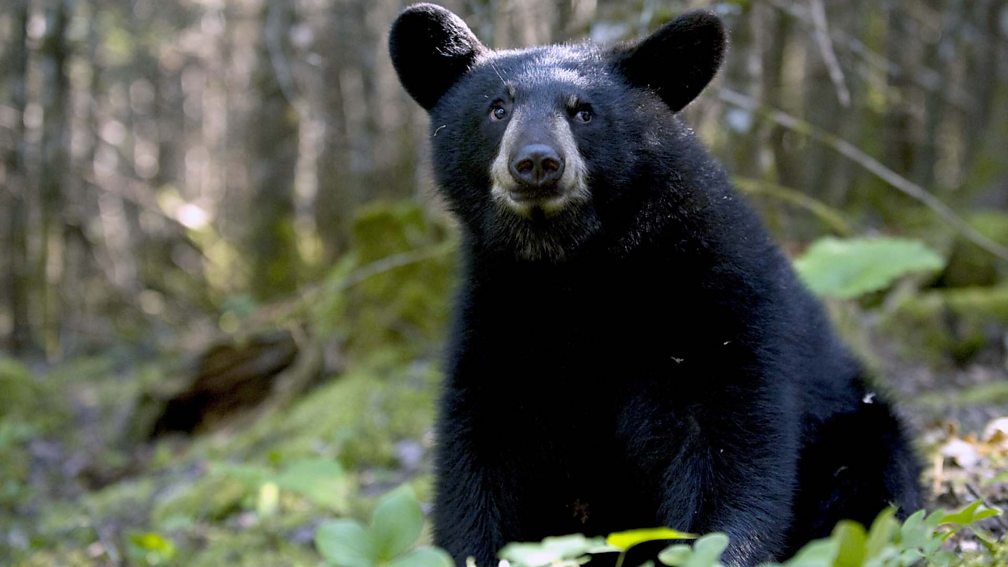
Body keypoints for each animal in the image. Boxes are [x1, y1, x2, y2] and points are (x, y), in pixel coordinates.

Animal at [388, 4, 923, 566]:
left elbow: (733, 444)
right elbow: (481, 453)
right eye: (497, 108)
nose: (536, 161)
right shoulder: (500, 312)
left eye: (584, 112)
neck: (574, 267)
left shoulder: (718, 297)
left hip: (859, 430)